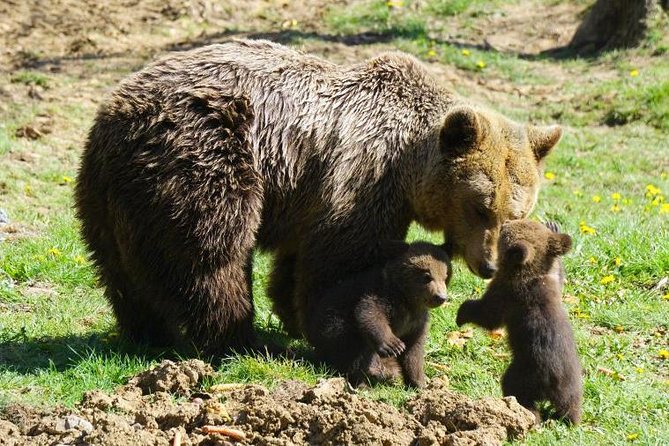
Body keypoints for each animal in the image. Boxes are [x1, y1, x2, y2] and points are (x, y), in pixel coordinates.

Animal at [75, 38, 562, 354]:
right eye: (479, 206)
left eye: (514, 213)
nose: (489, 265)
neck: (407, 164)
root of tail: (115, 114)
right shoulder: (362, 180)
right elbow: (341, 262)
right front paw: (342, 332)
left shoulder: (311, 193)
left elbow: (296, 261)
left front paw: (292, 315)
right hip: (206, 155)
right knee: (211, 255)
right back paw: (237, 337)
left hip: (106, 196)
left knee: (120, 268)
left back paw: (146, 332)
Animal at [306, 241, 451, 388]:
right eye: (427, 276)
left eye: (445, 277)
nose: (440, 297)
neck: (407, 300)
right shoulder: (381, 296)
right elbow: (370, 313)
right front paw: (393, 345)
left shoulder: (417, 322)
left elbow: (414, 351)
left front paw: (419, 383)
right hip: (335, 329)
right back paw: (364, 380)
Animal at [456, 220, 582, 424]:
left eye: (505, 231)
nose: (505, 222)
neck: (528, 273)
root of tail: (553, 383)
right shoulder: (551, 281)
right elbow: (559, 275)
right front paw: (554, 227)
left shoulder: (506, 292)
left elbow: (489, 315)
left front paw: (461, 314)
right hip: (571, 381)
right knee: (571, 403)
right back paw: (570, 418)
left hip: (525, 371)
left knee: (516, 389)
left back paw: (524, 414)